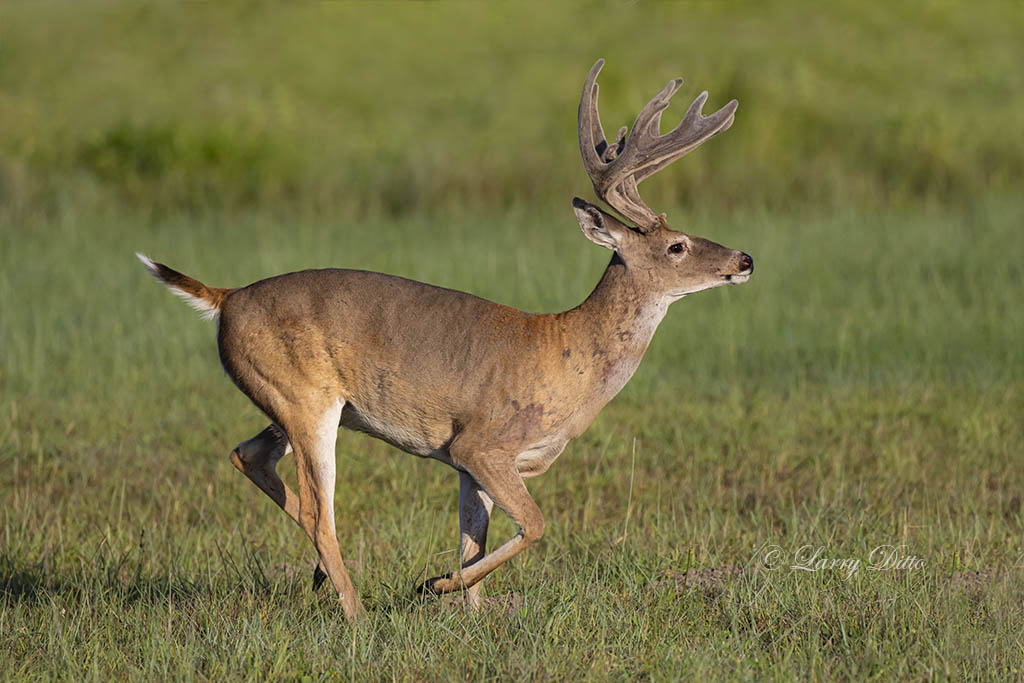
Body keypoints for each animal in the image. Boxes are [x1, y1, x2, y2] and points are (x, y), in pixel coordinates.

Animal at [137, 59, 751, 620]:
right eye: (676, 245)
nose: (744, 259)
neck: (568, 352)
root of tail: (226, 298)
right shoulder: (481, 443)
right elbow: (535, 524)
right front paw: (433, 585)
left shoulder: (468, 465)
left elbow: (474, 538)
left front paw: (471, 610)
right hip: (305, 399)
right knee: (318, 510)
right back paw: (356, 614)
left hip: (294, 402)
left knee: (248, 455)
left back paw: (322, 578)